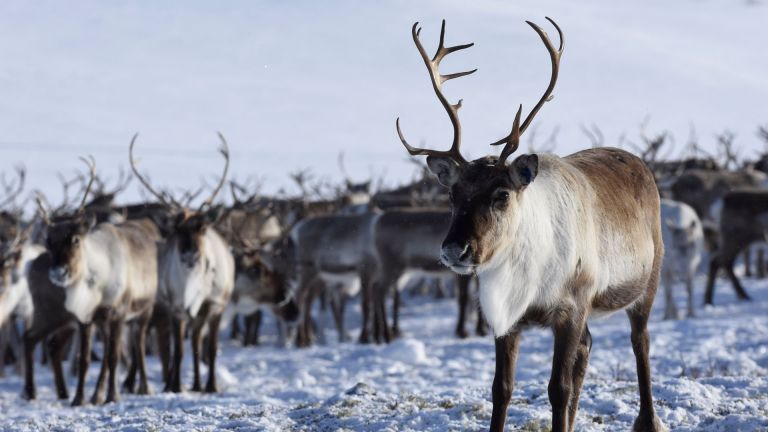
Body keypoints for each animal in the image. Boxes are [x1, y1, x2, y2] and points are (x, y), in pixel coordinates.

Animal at [38, 157, 161, 406]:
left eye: (75, 239)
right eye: (48, 242)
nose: (58, 272)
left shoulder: (120, 313)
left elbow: (115, 356)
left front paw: (113, 396)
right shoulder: (87, 318)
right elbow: (85, 359)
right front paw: (79, 398)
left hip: (144, 310)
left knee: (138, 346)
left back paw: (143, 387)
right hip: (104, 322)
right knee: (105, 355)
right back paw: (96, 395)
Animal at [129, 133, 234, 394]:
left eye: (203, 228)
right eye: (177, 230)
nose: (190, 255)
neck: (193, 287)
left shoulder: (215, 306)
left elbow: (210, 349)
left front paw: (211, 386)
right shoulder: (176, 308)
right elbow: (178, 351)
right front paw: (175, 386)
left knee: (196, 342)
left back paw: (197, 383)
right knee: (160, 347)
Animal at [394, 18, 666, 431]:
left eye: (502, 194)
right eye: (453, 194)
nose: (454, 249)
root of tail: (638, 163)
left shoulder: (572, 307)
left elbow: (558, 388)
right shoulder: (506, 319)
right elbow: (501, 389)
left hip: (646, 283)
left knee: (641, 343)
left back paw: (649, 419)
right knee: (588, 348)